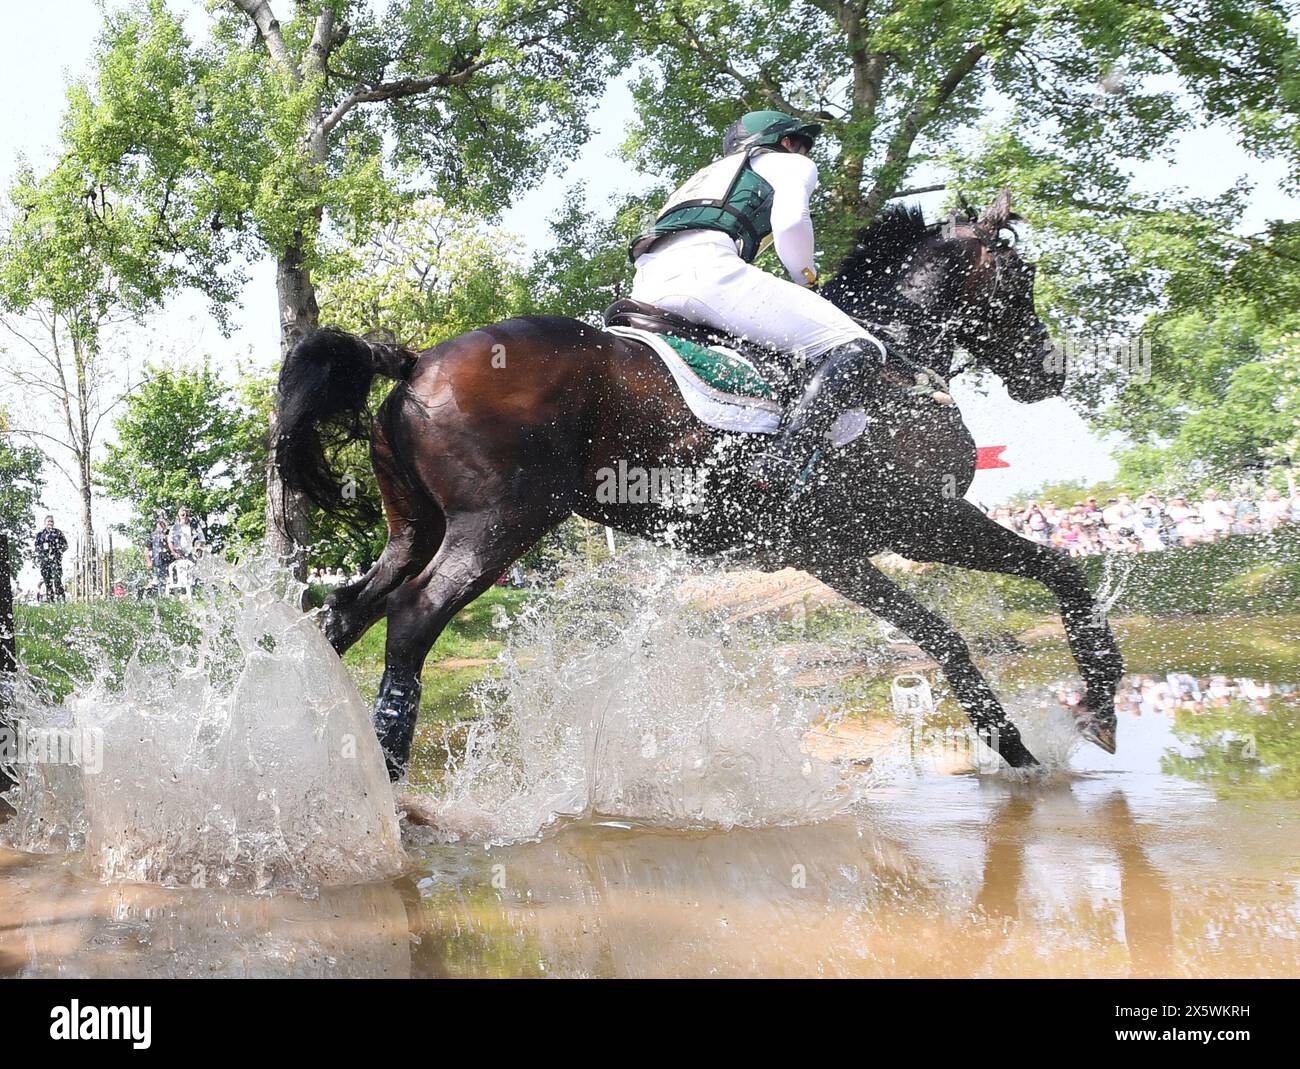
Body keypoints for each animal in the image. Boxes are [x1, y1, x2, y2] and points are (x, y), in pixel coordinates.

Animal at [275, 190, 1124, 780]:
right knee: (413, 618)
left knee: (347, 609)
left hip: (415, 527)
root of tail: (417, 362)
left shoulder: (841, 551)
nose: (1051, 369)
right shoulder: (918, 521)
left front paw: (1044, 730)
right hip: (499, 523)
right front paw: (1076, 714)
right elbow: (1028, 585)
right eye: (1022, 277)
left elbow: (973, 614)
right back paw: (386, 773)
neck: (896, 361)